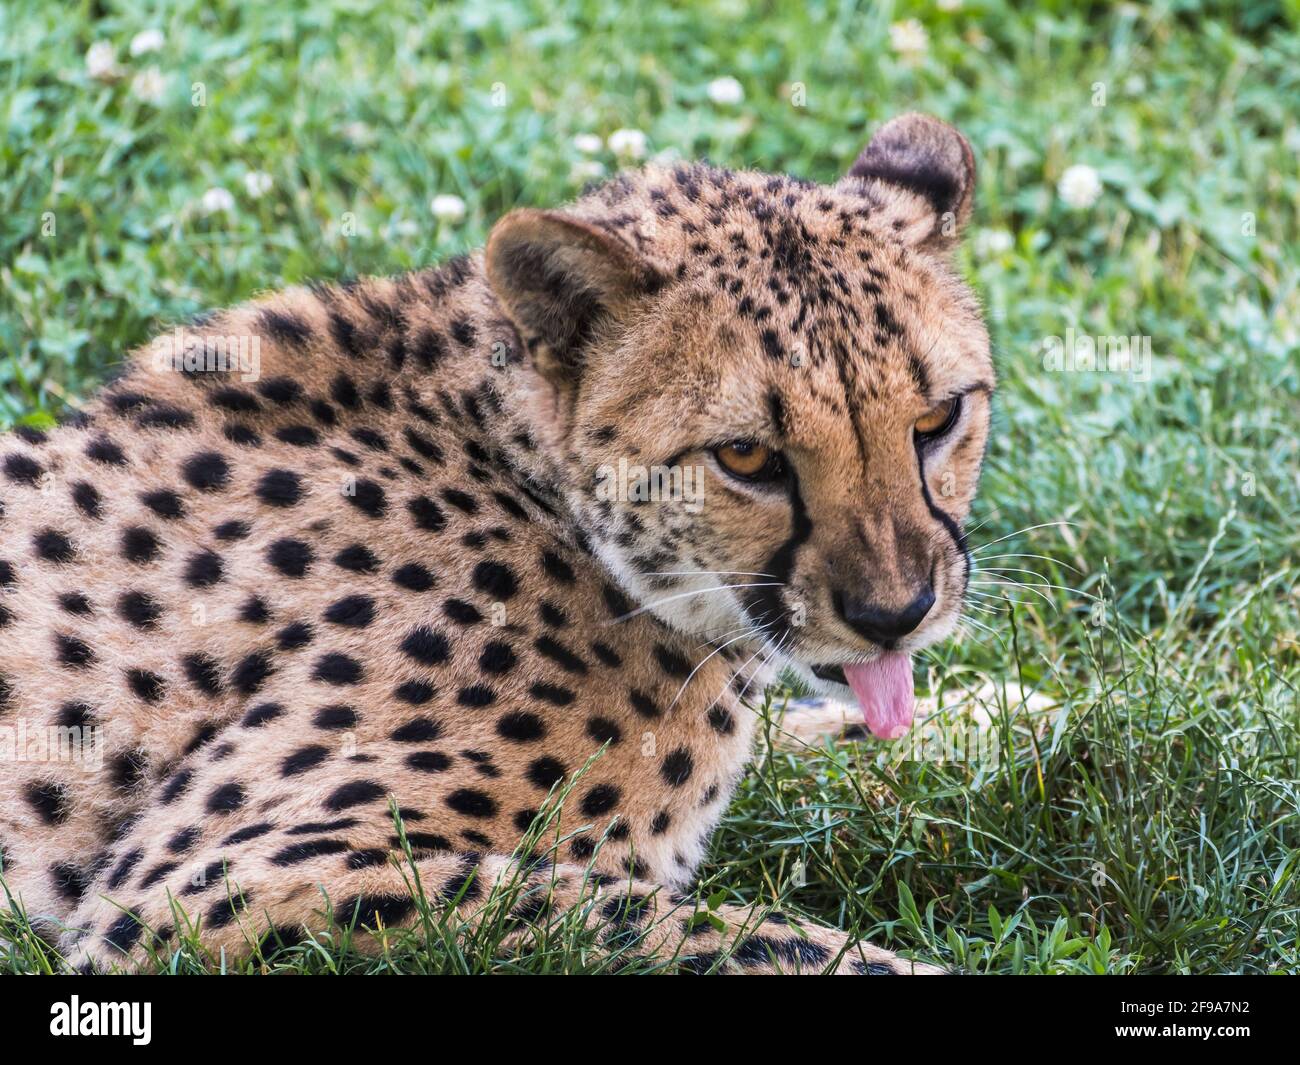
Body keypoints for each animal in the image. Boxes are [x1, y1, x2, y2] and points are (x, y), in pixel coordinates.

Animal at [0, 113, 992, 974]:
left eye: (937, 418)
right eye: (746, 455)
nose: (897, 613)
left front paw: (1006, 710)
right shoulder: (198, 891)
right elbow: (697, 927)